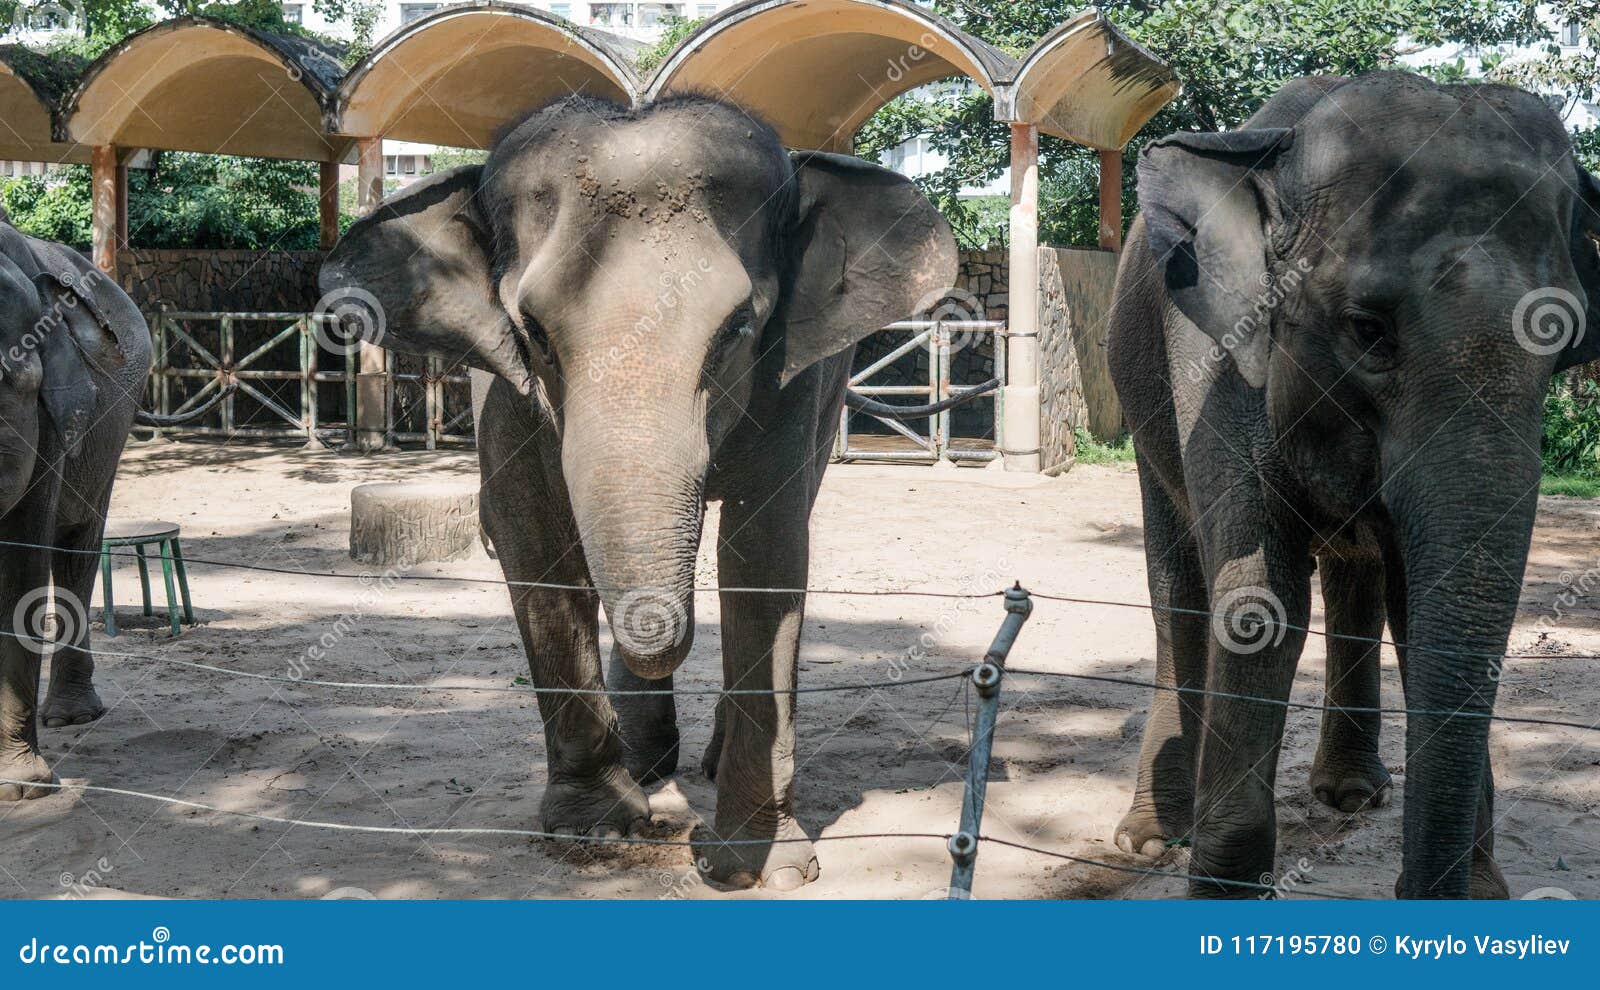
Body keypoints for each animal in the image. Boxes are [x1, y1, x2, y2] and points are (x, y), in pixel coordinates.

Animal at [0, 221, 155, 800]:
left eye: (9, 381)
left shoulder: (51, 418)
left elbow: (20, 569)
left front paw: (22, 786)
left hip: (111, 433)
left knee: (76, 547)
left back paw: (71, 718)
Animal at [318, 95, 956, 889]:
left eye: (739, 328)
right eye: (534, 333)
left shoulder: (793, 382)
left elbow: (766, 551)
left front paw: (759, 868)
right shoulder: (506, 395)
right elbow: (533, 537)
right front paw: (596, 833)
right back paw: (649, 765)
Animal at [1105, 71, 1600, 898]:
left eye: (1563, 341)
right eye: (1368, 329)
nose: (1422, 892)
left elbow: (1417, 602)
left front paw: (1480, 887)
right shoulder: (1210, 357)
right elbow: (1260, 602)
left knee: (1357, 576)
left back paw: (1350, 793)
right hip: (1141, 402)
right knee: (1178, 588)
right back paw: (1149, 840)